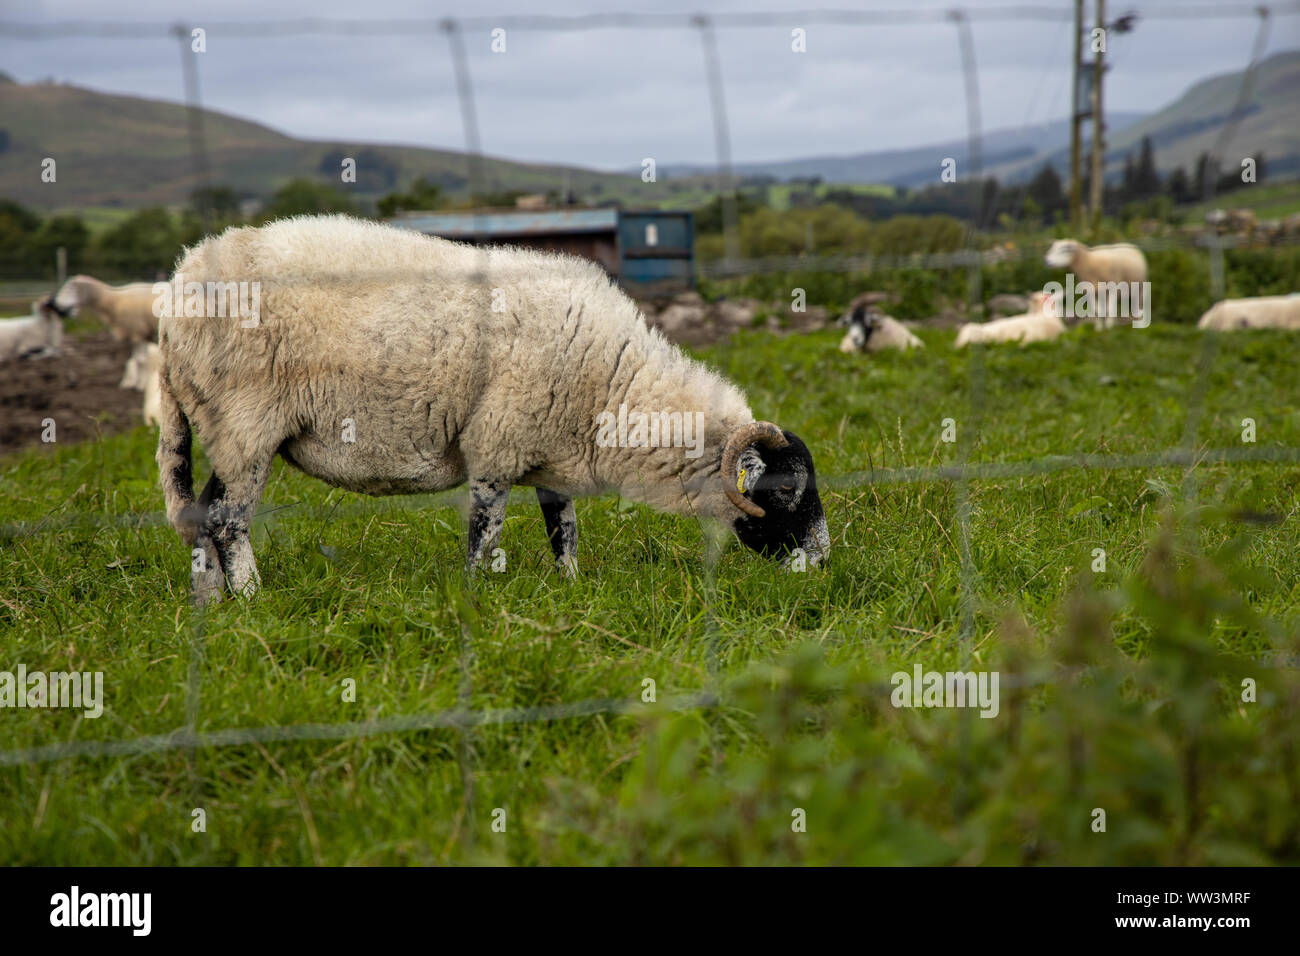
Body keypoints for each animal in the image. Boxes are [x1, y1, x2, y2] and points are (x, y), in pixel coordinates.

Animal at [157, 214, 830, 603]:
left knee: (203, 510)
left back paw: (211, 598)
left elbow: (564, 530)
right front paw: (478, 598)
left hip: (224, 426)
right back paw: (251, 596)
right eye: (785, 493)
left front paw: (570, 589)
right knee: (228, 518)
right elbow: (485, 533)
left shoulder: (550, 455)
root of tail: (181, 280)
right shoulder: (496, 447)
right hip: (246, 422)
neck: (614, 387)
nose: (824, 564)